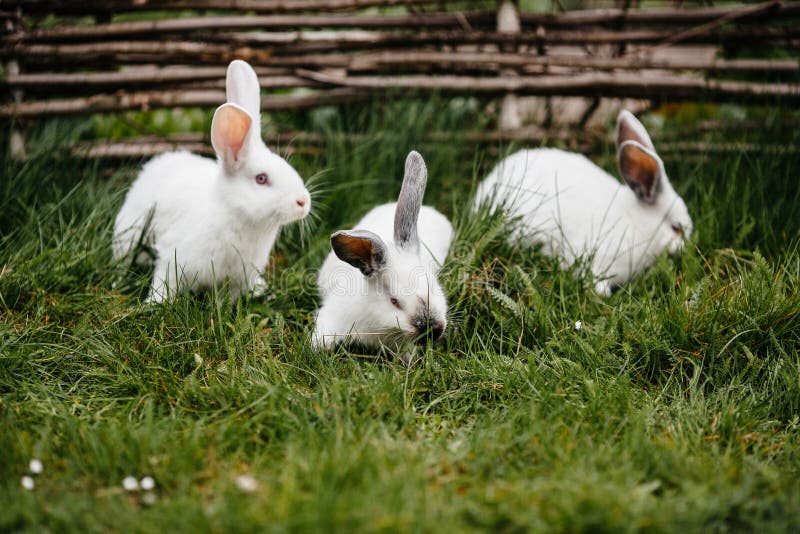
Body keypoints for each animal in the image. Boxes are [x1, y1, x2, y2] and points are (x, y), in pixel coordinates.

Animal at [112, 60, 311, 303]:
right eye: (261, 179)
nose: (303, 202)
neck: (235, 215)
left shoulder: (239, 278)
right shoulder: (173, 259)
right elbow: (164, 283)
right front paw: (153, 303)